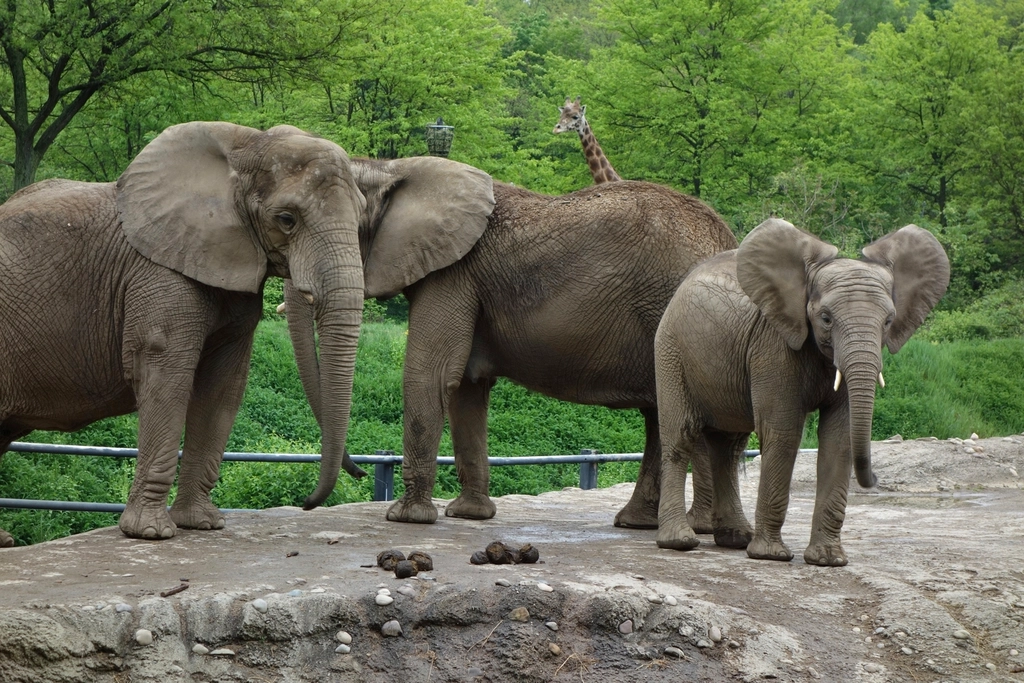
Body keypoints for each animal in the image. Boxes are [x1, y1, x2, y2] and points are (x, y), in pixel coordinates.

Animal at [0, 121, 494, 546]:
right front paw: (151, 534)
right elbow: (166, 373)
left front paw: (201, 524)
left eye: (360, 224)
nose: (308, 502)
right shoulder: (158, 273)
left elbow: (223, 384)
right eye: (287, 219)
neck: (246, 146)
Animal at [284, 173, 738, 527]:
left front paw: (404, 517)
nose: (361, 474)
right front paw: (469, 515)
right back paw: (643, 523)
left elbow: (430, 373)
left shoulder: (452, 274)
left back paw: (695, 529)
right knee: (660, 413)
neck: (389, 171)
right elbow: (467, 385)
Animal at [653, 219, 950, 566]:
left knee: (729, 447)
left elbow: (839, 437)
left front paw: (828, 561)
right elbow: (783, 432)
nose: (874, 480)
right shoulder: (773, 344)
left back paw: (736, 539)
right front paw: (771, 556)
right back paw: (680, 542)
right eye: (826, 318)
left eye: (889, 321)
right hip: (671, 349)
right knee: (681, 436)